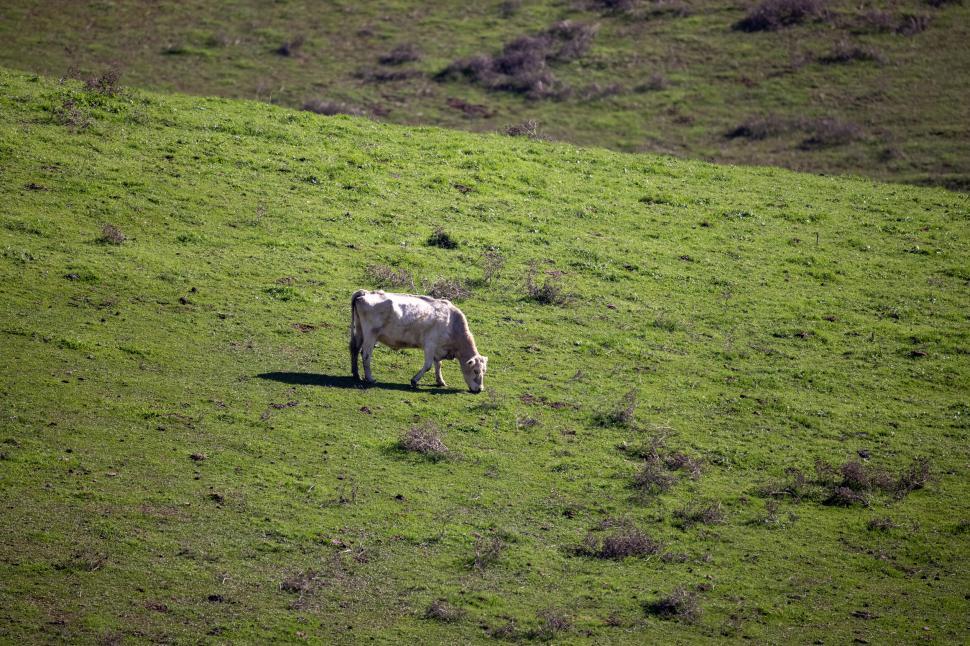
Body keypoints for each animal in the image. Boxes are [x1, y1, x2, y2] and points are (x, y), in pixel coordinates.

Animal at [349, 289, 488, 393]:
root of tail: (365, 292)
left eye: (484, 371)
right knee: (366, 355)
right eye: (475, 370)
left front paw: (440, 381)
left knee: (354, 349)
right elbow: (428, 365)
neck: (452, 323)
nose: (480, 389)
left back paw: (356, 374)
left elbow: (438, 364)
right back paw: (370, 378)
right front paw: (414, 380)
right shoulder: (430, 345)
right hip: (370, 335)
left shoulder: (438, 348)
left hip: (360, 331)